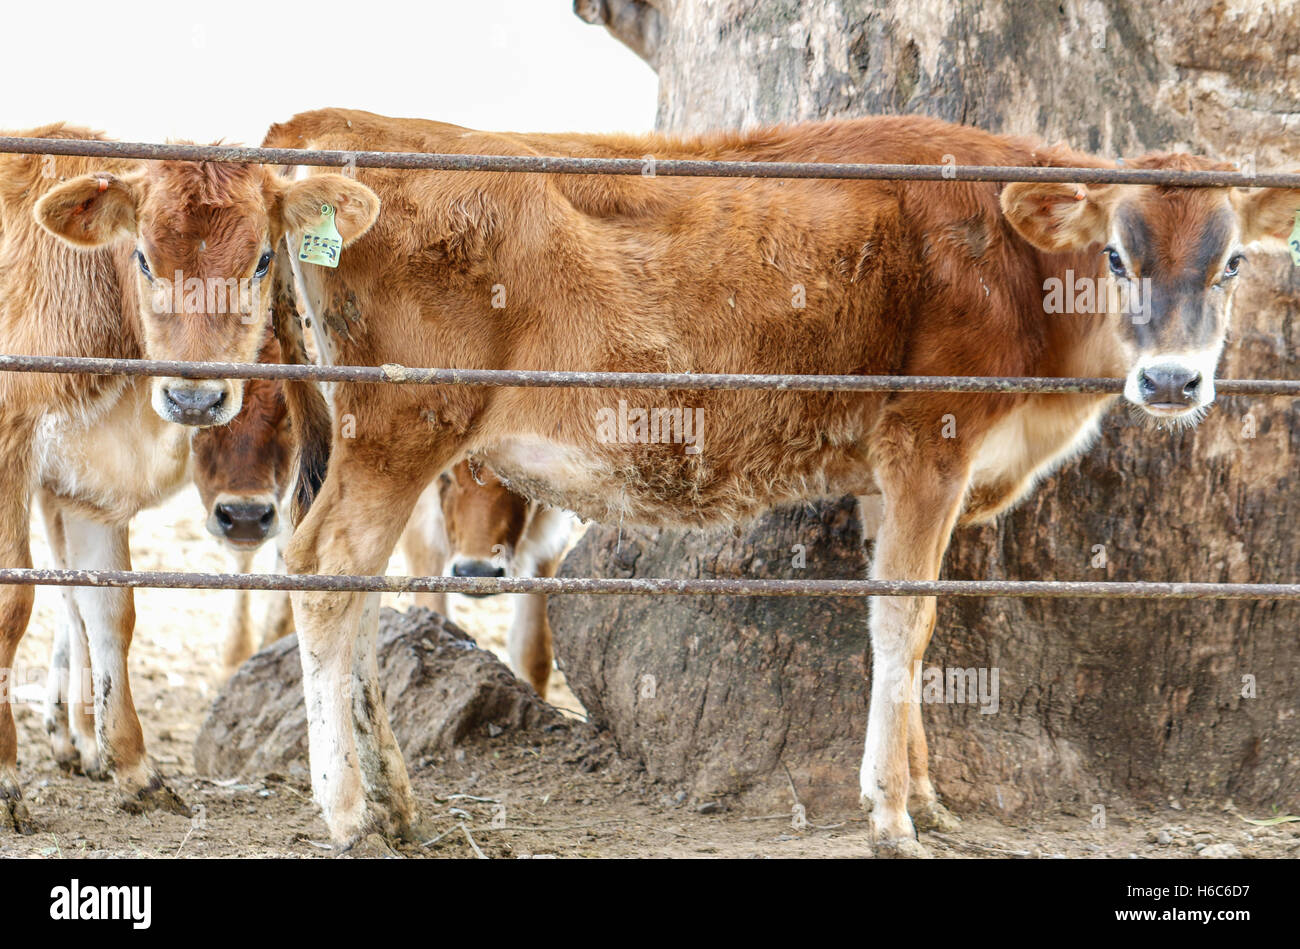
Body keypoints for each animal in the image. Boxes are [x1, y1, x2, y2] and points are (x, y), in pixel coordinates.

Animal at [0, 124, 370, 833]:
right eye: (143, 260)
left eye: (262, 260)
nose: (195, 400)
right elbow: (13, 602)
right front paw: (6, 779)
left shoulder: (89, 484)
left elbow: (108, 611)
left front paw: (134, 770)